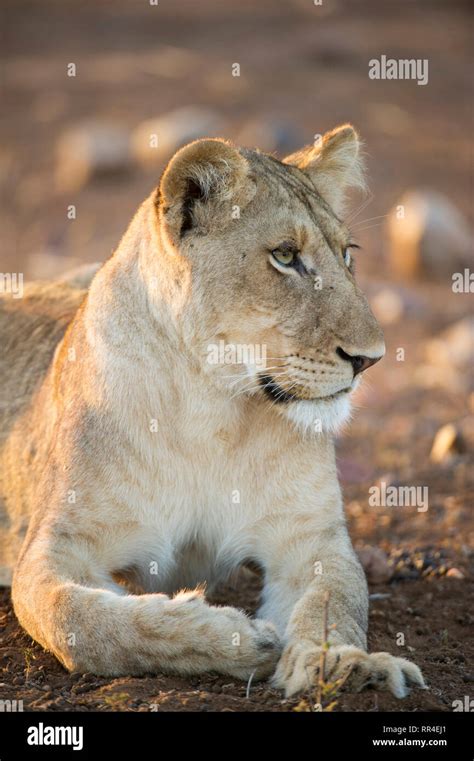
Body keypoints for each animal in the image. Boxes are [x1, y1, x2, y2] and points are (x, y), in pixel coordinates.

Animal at [0, 125, 426, 698]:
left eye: (347, 253)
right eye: (285, 255)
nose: (370, 359)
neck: (211, 408)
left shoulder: (311, 538)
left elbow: (335, 603)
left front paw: (345, 664)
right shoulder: (52, 550)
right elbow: (80, 621)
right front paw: (235, 637)